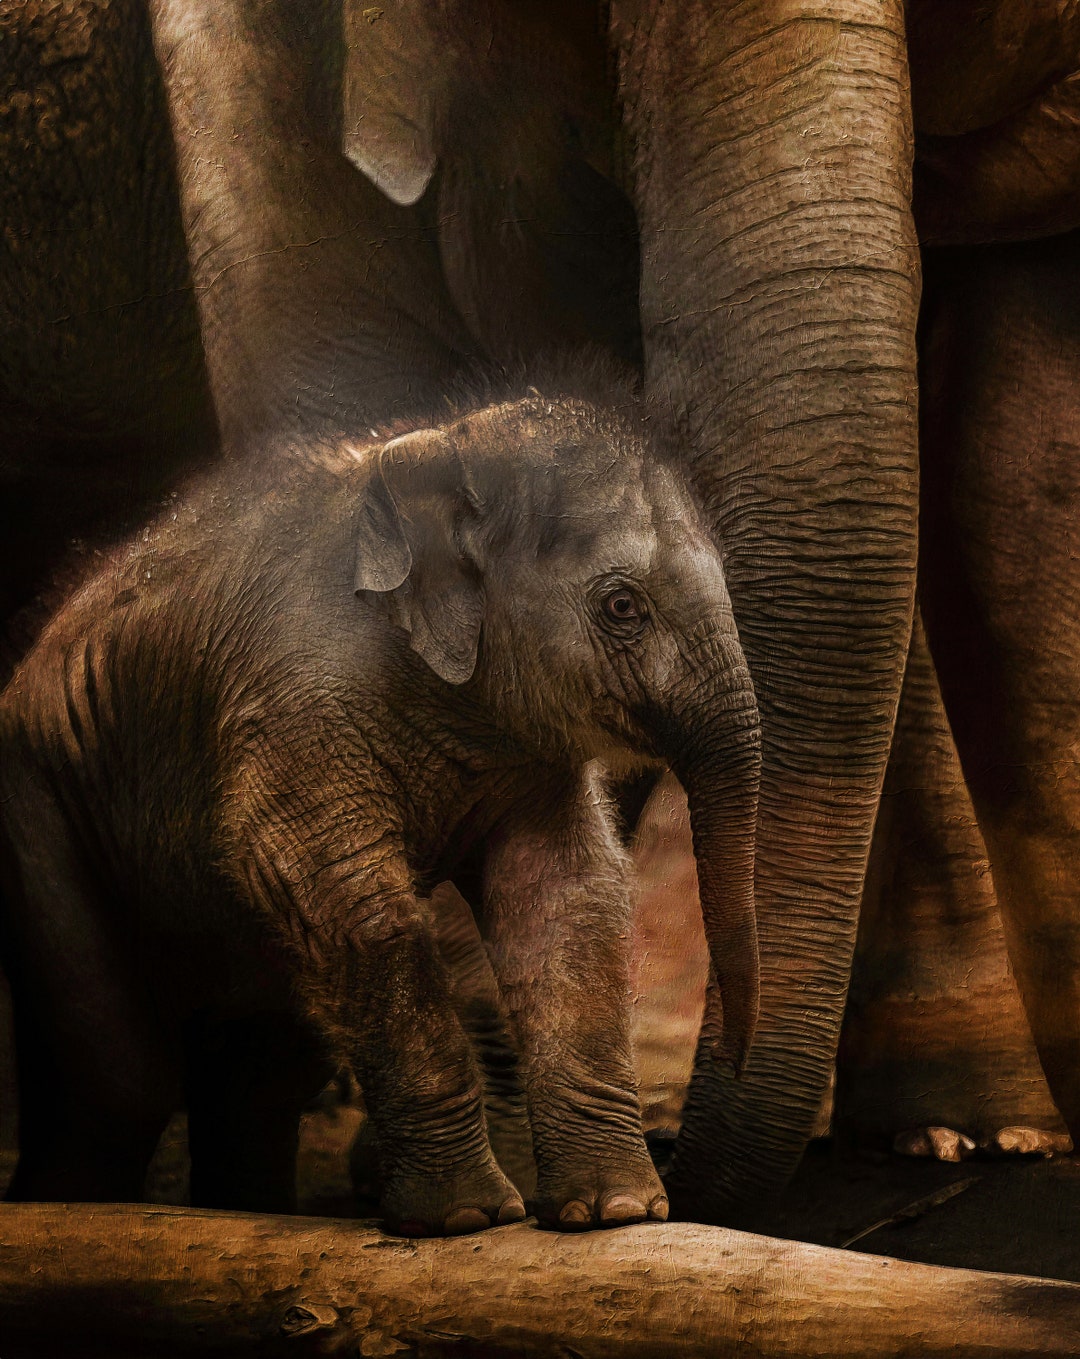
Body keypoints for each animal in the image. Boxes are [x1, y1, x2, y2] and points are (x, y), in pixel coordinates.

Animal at [0, 384, 762, 1236]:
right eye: (622, 604)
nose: (730, 1053)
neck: (447, 447)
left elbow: (561, 896)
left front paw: (614, 1212)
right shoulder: (293, 703)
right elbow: (337, 890)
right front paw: (464, 1219)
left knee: (256, 1075)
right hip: (34, 807)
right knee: (119, 1082)